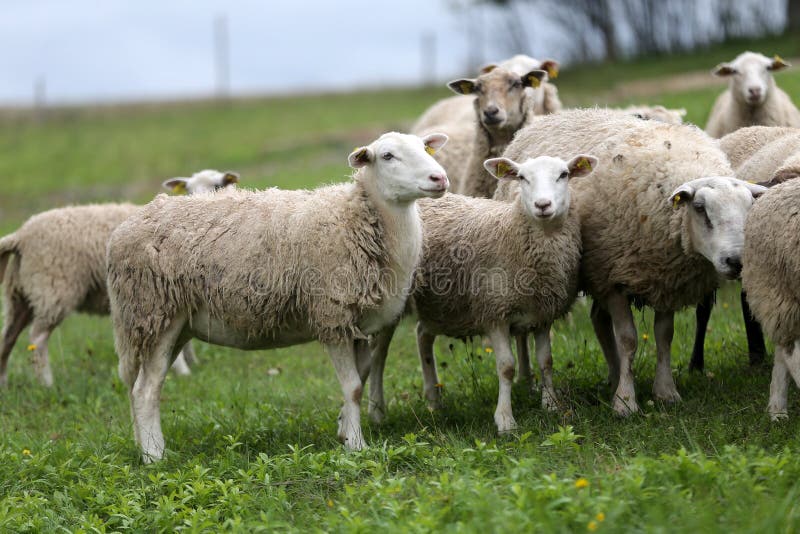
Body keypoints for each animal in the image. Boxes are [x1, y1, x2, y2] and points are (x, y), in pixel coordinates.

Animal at [0, 169, 239, 387]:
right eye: (188, 189)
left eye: (218, 185)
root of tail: (20, 235)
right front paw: (183, 371)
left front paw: (190, 362)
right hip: (53, 288)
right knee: (37, 338)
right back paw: (47, 384)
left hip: (20, 295)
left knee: (8, 337)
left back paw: (4, 382)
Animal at [105, 132, 449, 462]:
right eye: (388, 156)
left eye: (424, 147)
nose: (439, 178)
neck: (356, 217)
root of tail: (124, 228)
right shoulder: (332, 318)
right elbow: (352, 387)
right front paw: (357, 446)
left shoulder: (359, 325)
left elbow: (361, 379)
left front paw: (343, 429)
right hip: (153, 310)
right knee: (146, 390)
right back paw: (155, 457)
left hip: (171, 325)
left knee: (139, 386)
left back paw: (143, 445)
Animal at [366, 154, 596, 432]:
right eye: (522, 178)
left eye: (564, 174)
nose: (542, 205)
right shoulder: (494, 312)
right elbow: (507, 367)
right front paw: (505, 419)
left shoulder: (543, 313)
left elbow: (546, 361)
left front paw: (551, 404)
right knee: (378, 354)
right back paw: (377, 412)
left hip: (438, 303)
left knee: (422, 335)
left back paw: (434, 401)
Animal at [495, 108, 766, 415]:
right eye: (700, 208)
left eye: (748, 209)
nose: (736, 261)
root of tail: (552, 116)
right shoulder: (614, 277)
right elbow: (628, 339)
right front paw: (625, 401)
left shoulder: (667, 280)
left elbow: (664, 335)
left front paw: (665, 391)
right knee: (526, 331)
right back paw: (527, 380)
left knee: (598, 321)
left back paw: (613, 375)